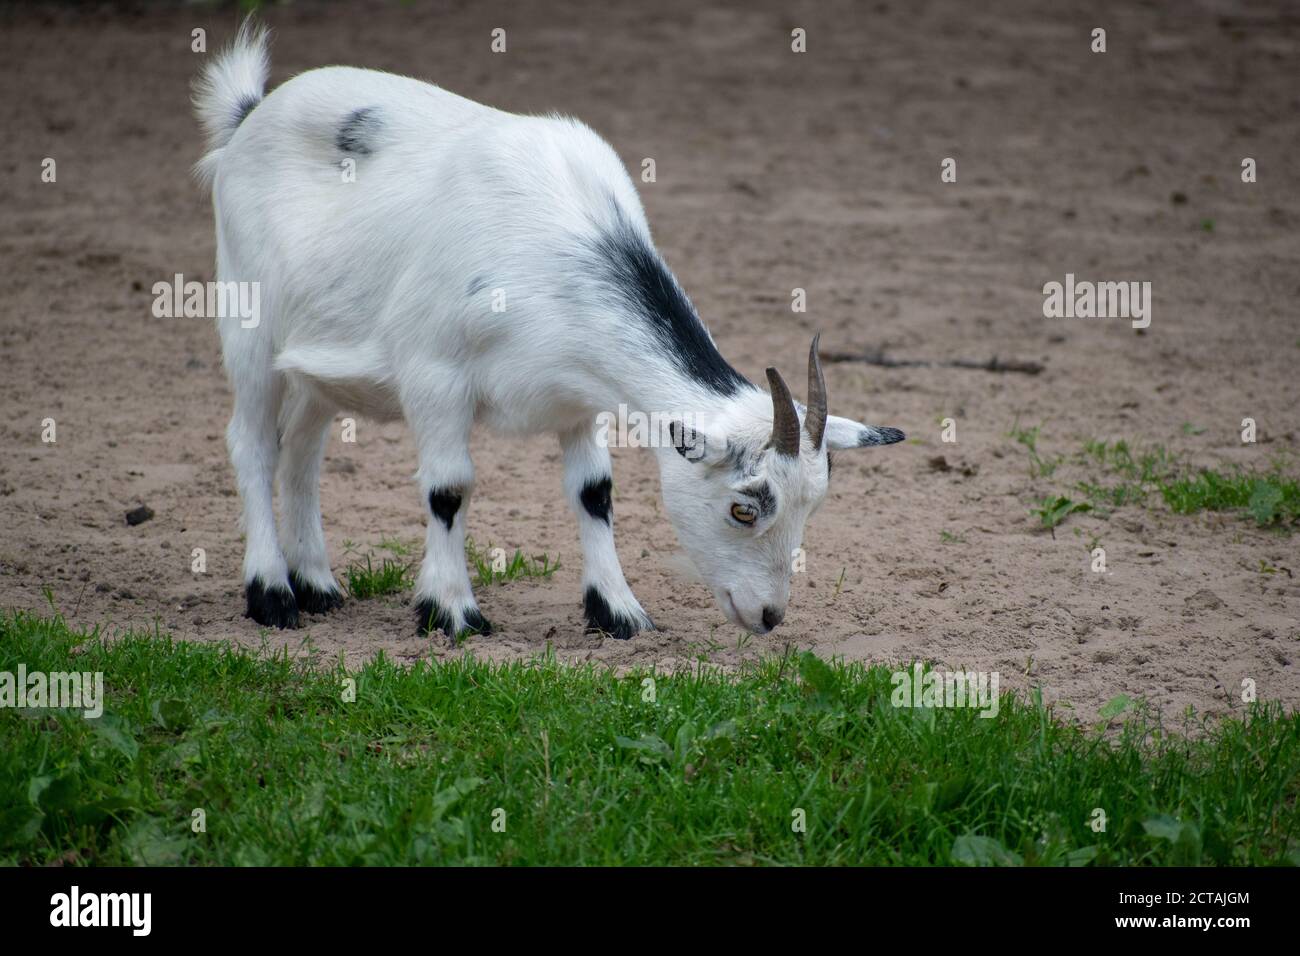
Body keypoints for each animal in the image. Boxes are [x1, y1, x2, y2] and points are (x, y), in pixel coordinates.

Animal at [193, 23, 904, 642]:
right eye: (744, 508)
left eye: (814, 507)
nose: (769, 616)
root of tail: (250, 114)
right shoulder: (434, 376)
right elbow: (449, 489)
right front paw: (451, 612)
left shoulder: (578, 393)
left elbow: (594, 492)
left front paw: (618, 612)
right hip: (248, 323)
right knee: (252, 444)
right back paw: (272, 594)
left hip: (318, 360)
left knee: (303, 450)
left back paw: (317, 585)